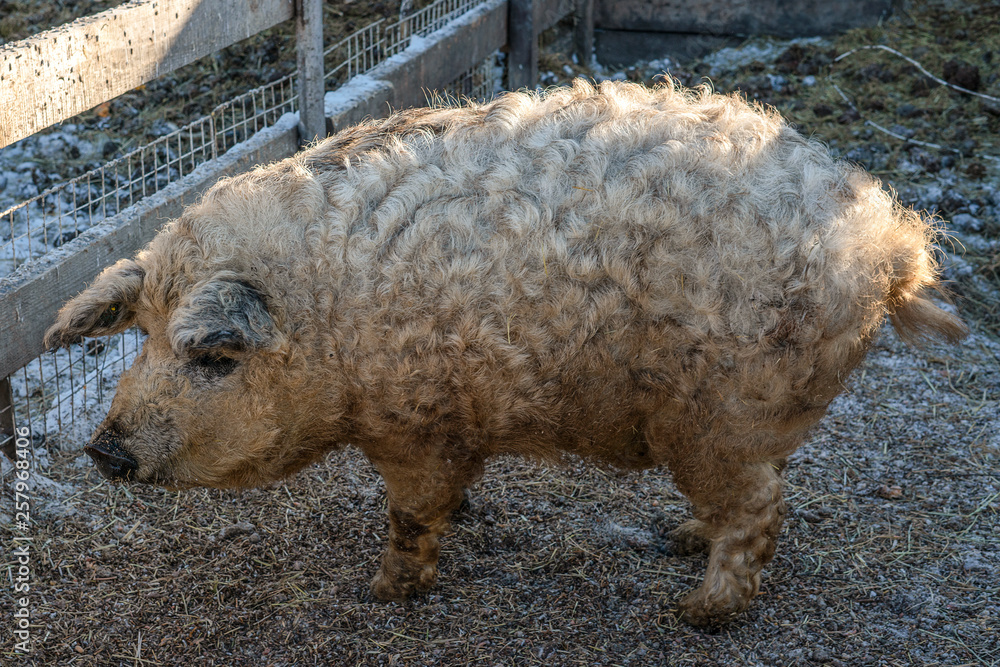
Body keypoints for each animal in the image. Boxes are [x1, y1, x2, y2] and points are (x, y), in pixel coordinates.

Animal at [45, 80, 966, 626]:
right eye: (142, 335)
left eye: (211, 358)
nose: (104, 450)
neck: (326, 319)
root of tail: (886, 244)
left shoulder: (415, 423)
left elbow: (412, 510)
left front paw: (380, 591)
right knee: (756, 495)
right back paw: (675, 539)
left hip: (720, 411)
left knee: (760, 509)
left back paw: (697, 610)